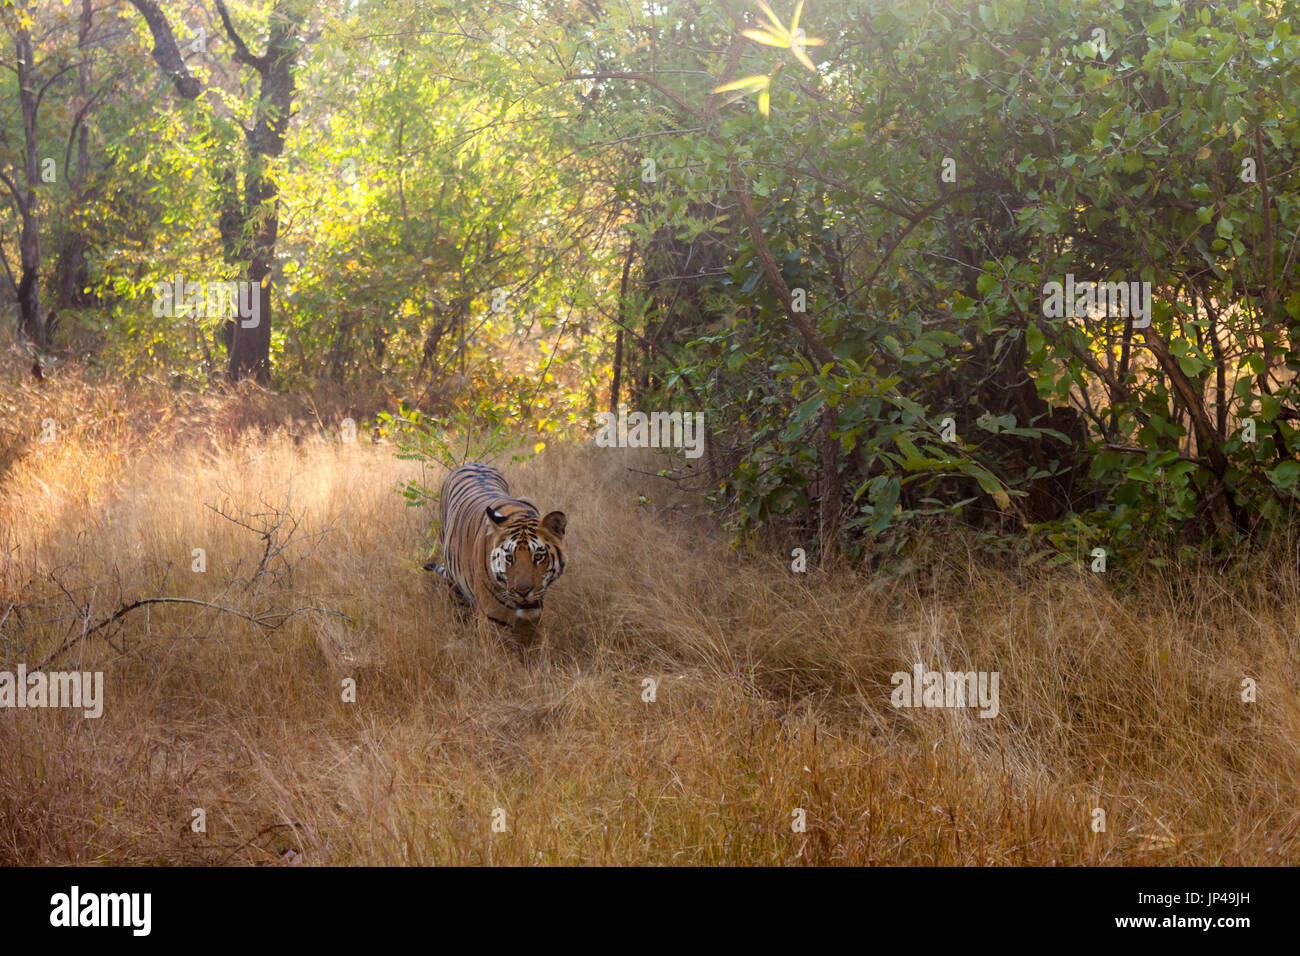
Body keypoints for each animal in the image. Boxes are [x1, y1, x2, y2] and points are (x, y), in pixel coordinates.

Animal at [423, 462, 568, 632]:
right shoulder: (491, 619)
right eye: (509, 558)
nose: (523, 592)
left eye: (538, 556)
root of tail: (472, 463)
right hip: (454, 586)